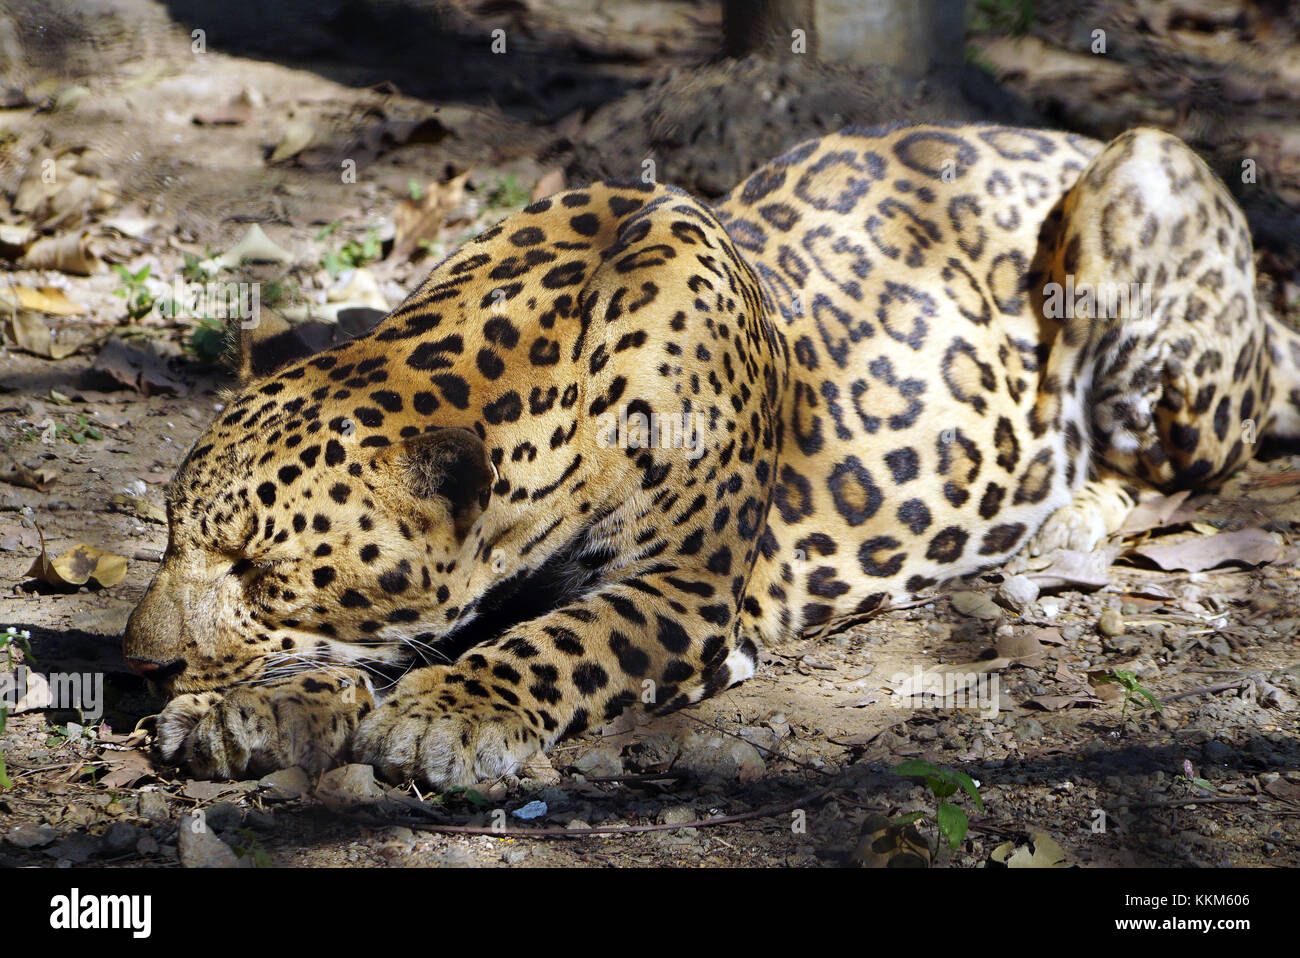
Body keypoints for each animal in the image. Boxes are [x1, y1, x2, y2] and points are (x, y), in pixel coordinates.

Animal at [124, 123, 1300, 789]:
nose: (138, 667)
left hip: (1141, 184)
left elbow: (555, 640)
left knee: (1181, 462)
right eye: (174, 537)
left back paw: (1066, 519)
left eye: (266, 573)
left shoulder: (684, 591)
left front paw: (449, 715)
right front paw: (241, 711)